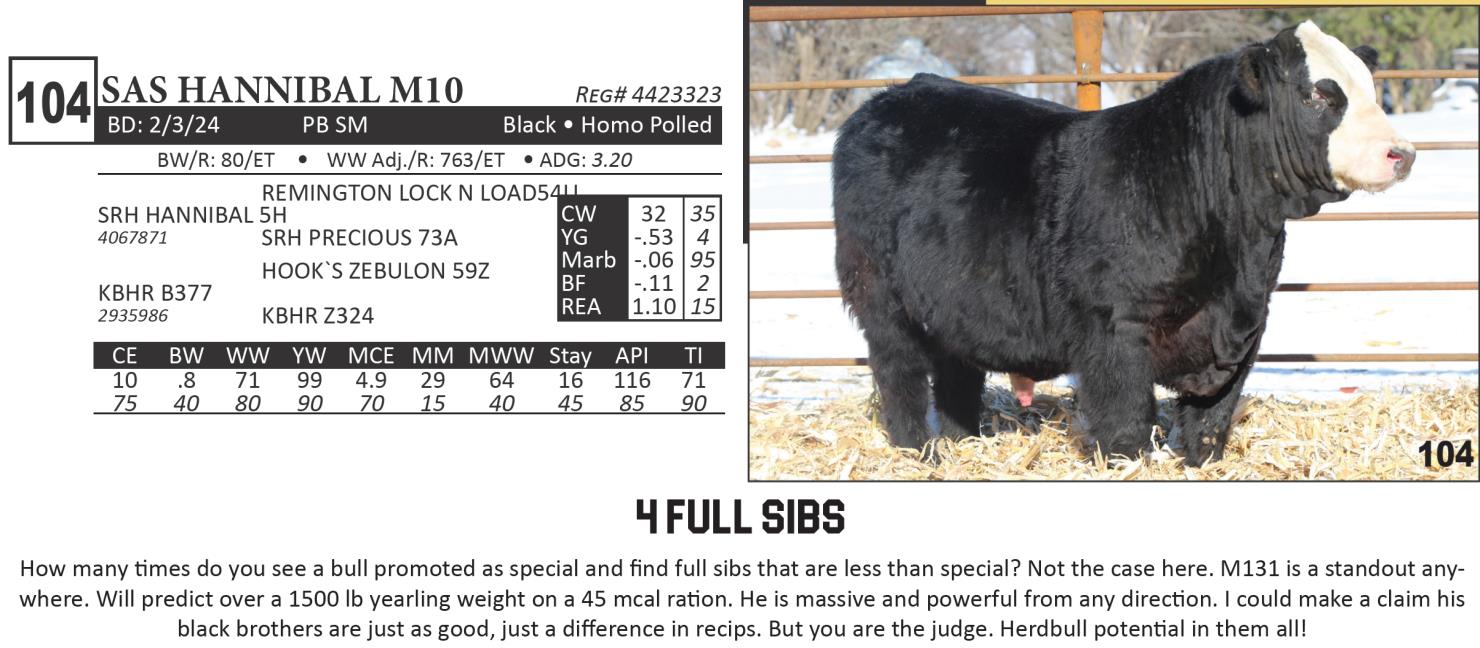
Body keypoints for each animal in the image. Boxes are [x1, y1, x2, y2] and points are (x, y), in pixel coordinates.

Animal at [832, 22, 1415, 466]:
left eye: (1369, 87)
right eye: (1317, 94)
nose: (1402, 152)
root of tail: (894, 95)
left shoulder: (1247, 330)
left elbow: (1211, 423)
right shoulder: (1113, 329)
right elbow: (1127, 420)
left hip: (954, 306)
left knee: (957, 376)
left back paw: (965, 442)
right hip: (881, 303)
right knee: (901, 377)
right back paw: (920, 452)